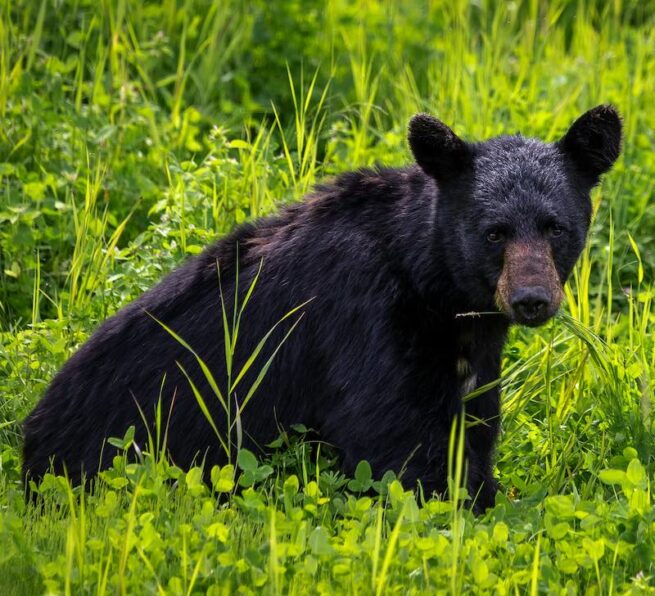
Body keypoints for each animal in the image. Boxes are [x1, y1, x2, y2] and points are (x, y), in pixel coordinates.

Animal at [22, 105, 622, 511]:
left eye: (555, 227)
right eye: (494, 232)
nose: (531, 299)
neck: (432, 287)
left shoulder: (471, 353)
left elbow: (472, 426)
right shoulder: (365, 320)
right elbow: (396, 444)